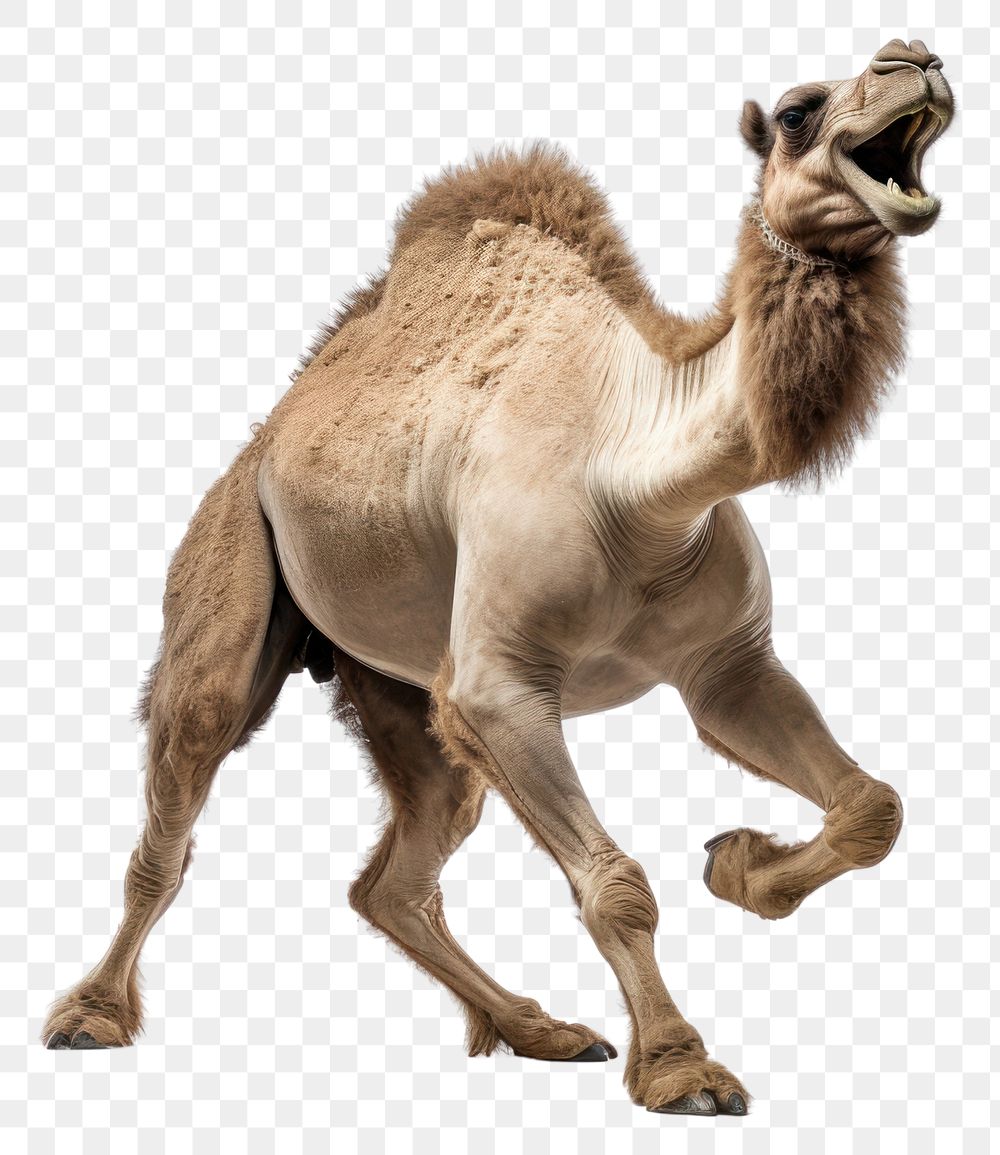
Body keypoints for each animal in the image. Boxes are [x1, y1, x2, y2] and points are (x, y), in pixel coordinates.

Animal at [43, 39, 952, 1117]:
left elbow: (872, 807)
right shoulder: (498, 683)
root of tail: (270, 431)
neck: (640, 475)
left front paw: (736, 865)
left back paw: (541, 1031)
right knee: (179, 797)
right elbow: (616, 886)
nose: (915, 59)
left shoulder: (728, 665)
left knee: (396, 873)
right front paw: (682, 1068)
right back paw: (89, 1016)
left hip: (392, 687)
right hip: (230, 560)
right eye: (796, 113)